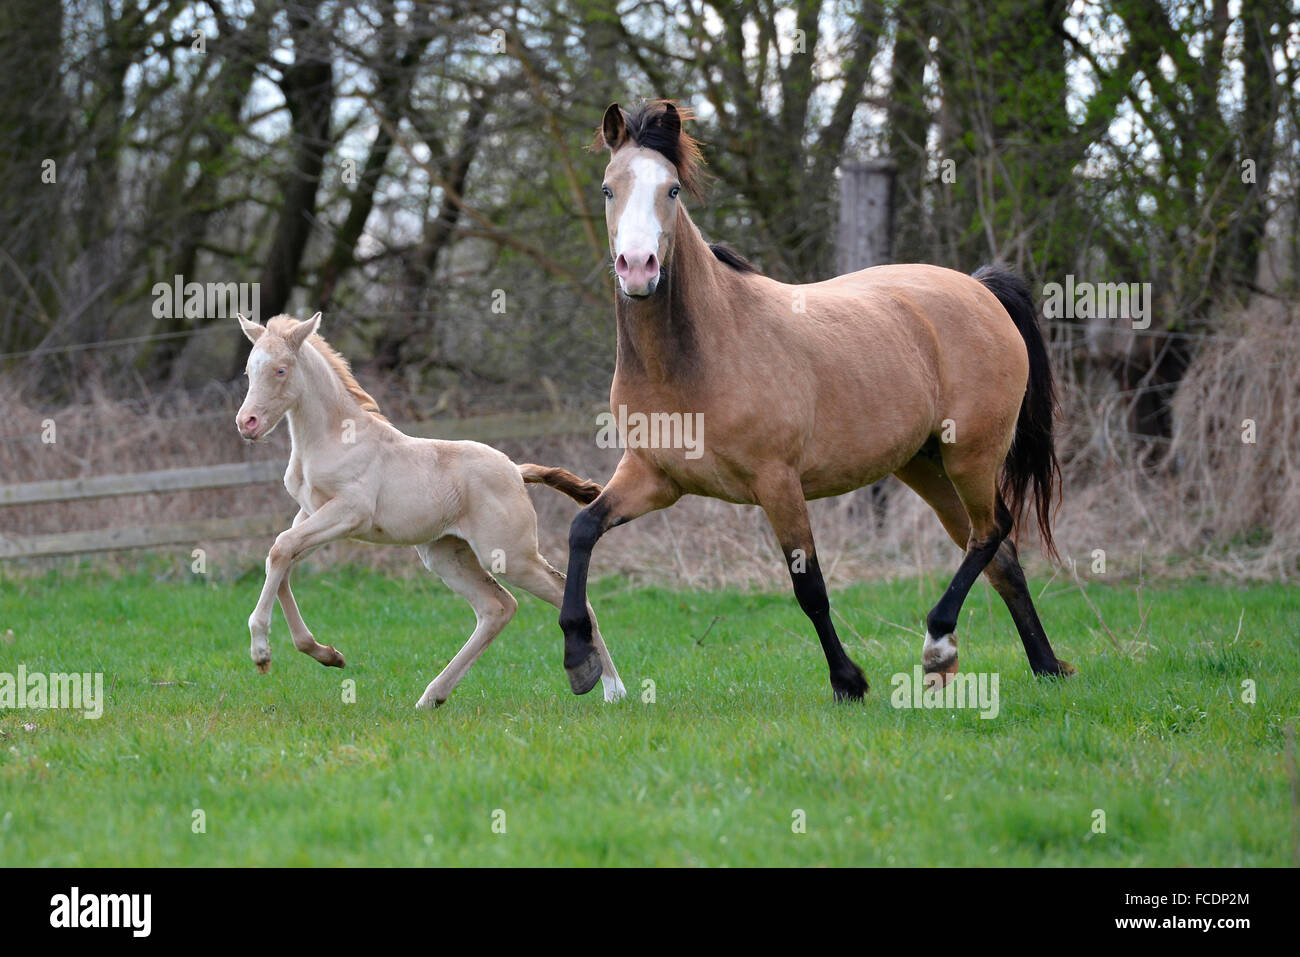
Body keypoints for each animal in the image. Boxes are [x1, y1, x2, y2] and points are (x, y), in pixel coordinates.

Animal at [233, 312, 626, 706]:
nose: (246, 423)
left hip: (509, 555)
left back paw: (610, 688)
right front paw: (326, 654)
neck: (334, 439)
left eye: (281, 370)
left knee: (568, 596)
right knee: (497, 608)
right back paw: (431, 697)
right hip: (447, 555)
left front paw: (261, 652)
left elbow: (281, 548)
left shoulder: (349, 512)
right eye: (249, 371)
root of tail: (516, 470)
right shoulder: (311, 514)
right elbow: (281, 558)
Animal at [557, 99, 1074, 702]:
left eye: (673, 190)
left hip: (970, 455)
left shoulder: (778, 483)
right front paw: (578, 659)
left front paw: (848, 681)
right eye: (608, 188)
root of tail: (979, 288)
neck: (697, 357)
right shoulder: (653, 477)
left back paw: (939, 644)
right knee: (999, 553)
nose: (637, 267)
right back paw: (1043, 665)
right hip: (924, 465)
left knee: (992, 532)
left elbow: (811, 589)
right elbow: (582, 528)